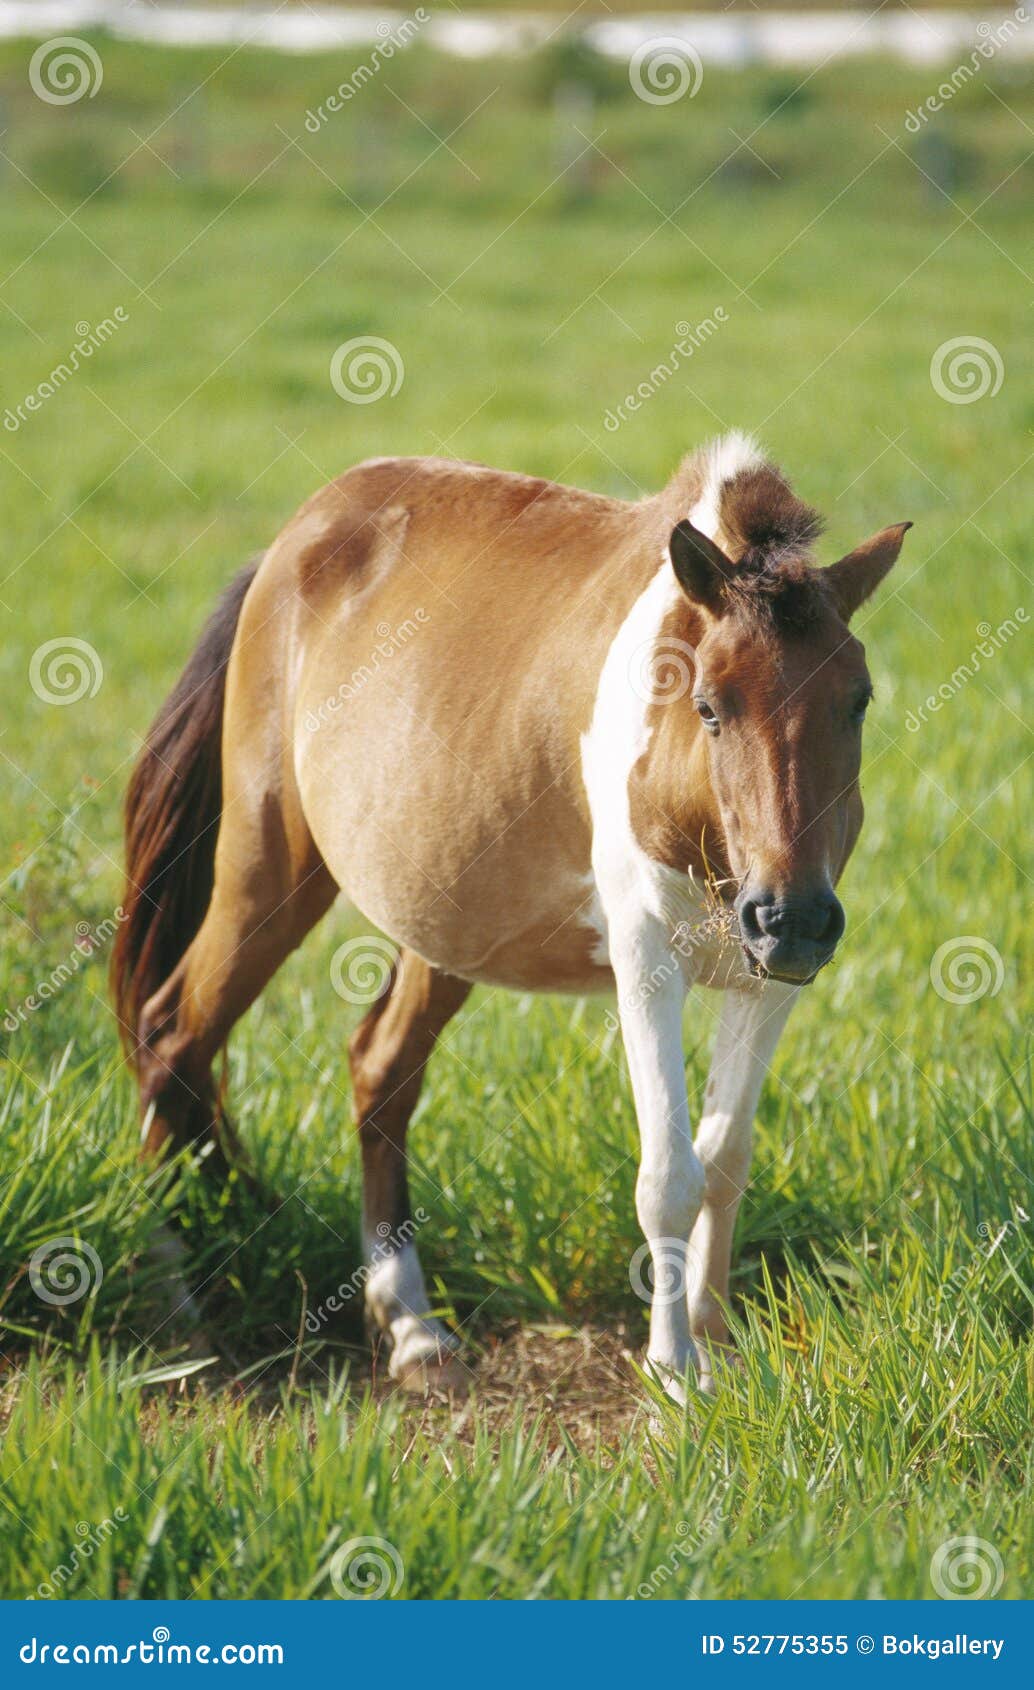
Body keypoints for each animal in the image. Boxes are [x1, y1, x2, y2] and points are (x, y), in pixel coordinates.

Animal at [111, 431, 909, 1400]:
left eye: (857, 701)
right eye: (709, 705)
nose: (790, 918)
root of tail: (286, 547)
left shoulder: (770, 983)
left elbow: (724, 1161)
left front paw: (716, 1345)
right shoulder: (649, 961)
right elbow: (668, 1176)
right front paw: (671, 1373)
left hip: (446, 921)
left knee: (379, 1068)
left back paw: (411, 1326)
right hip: (267, 869)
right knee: (172, 1033)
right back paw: (177, 1299)